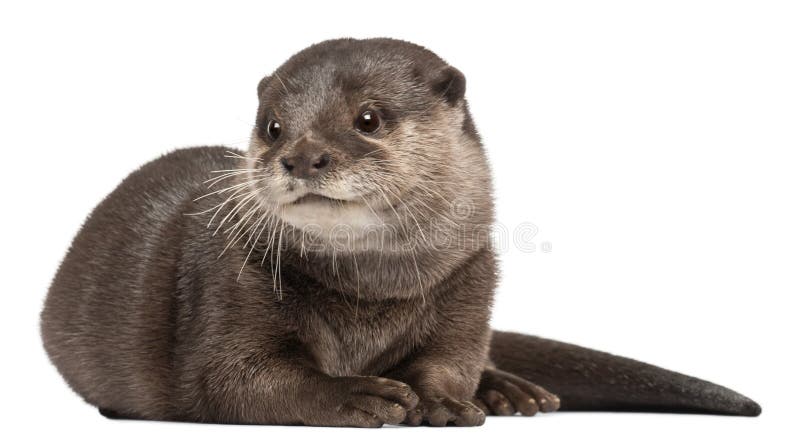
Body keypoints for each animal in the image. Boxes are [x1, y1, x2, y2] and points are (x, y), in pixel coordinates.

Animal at [40, 38, 760, 427]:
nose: (302, 155)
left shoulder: (474, 279)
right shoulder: (228, 280)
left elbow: (451, 359)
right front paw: (358, 393)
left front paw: (444, 399)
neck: (372, 295)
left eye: (368, 117)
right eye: (272, 126)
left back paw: (511, 390)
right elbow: (237, 378)